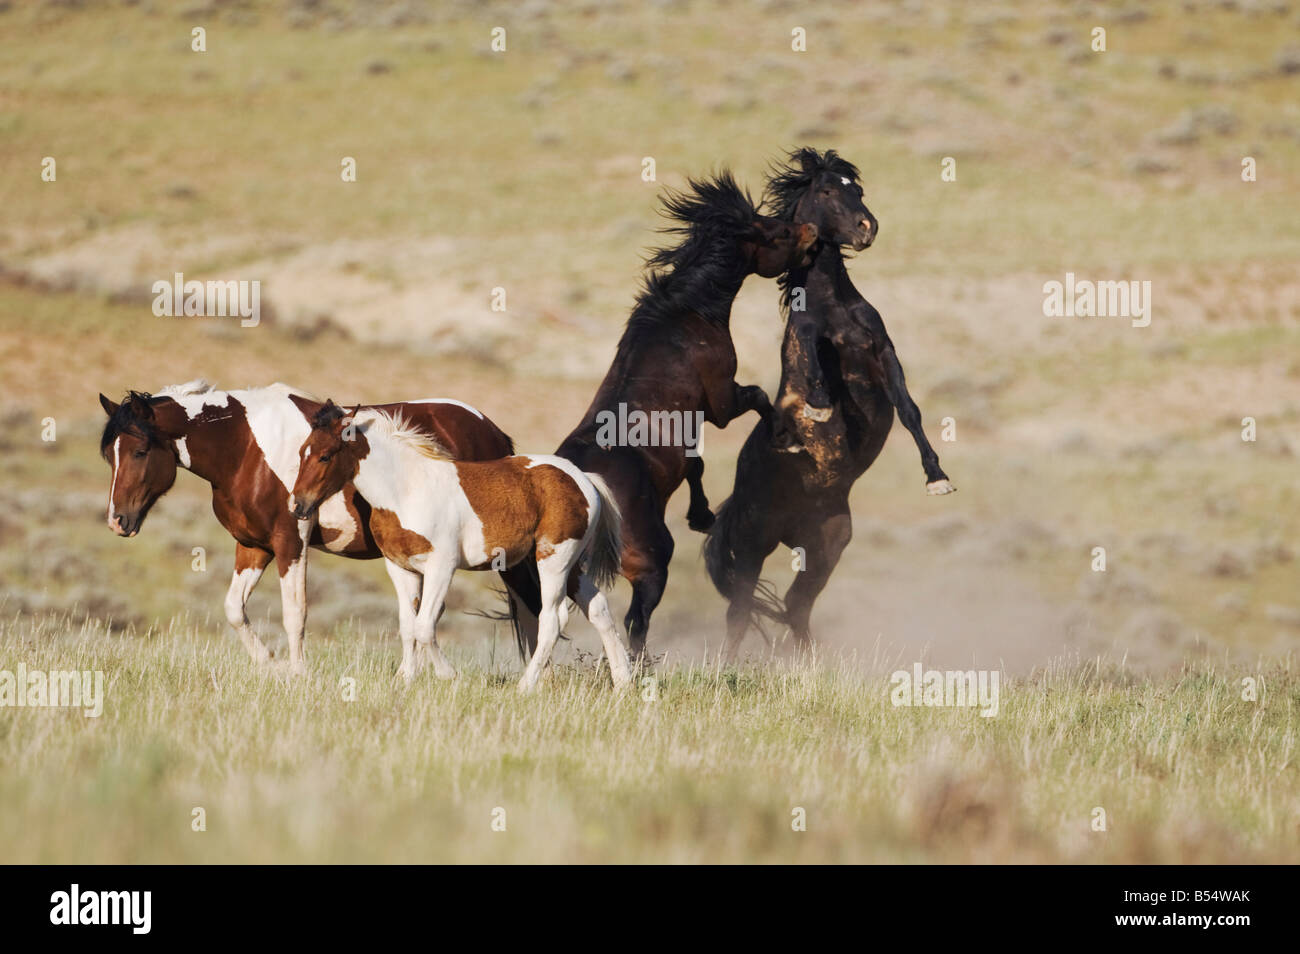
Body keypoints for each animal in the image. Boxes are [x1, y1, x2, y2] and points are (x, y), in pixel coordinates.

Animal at [98, 380, 515, 673]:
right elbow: (235, 609)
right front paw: (270, 663)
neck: (246, 449)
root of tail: (492, 430)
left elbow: (294, 614)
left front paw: (298, 674)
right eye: (109, 456)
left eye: (140, 451)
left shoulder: (290, 543)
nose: (117, 521)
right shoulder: (253, 546)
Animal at [290, 401, 632, 692]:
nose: (298, 506)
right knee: (598, 608)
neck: (407, 490)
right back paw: (623, 683)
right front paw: (405, 679)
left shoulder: (442, 566)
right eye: (302, 451)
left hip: (553, 558)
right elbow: (408, 625)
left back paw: (525, 686)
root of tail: (583, 479)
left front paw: (448, 675)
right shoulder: (400, 567)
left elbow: (425, 626)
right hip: (566, 562)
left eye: (325, 455)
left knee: (551, 619)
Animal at [504, 171, 819, 660]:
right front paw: (784, 437)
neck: (684, 316)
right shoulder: (721, 402)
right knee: (637, 618)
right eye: (781, 232)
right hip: (652, 563)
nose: (814, 231)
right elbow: (759, 399)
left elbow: (695, 464)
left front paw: (702, 515)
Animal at [704, 148, 955, 660]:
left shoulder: (883, 354)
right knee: (739, 610)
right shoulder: (807, 346)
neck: (835, 309)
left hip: (828, 544)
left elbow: (910, 411)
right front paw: (819, 407)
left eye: (856, 189)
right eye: (824, 191)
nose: (867, 227)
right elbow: (810, 356)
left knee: (796, 606)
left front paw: (937, 478)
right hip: (754, 544)